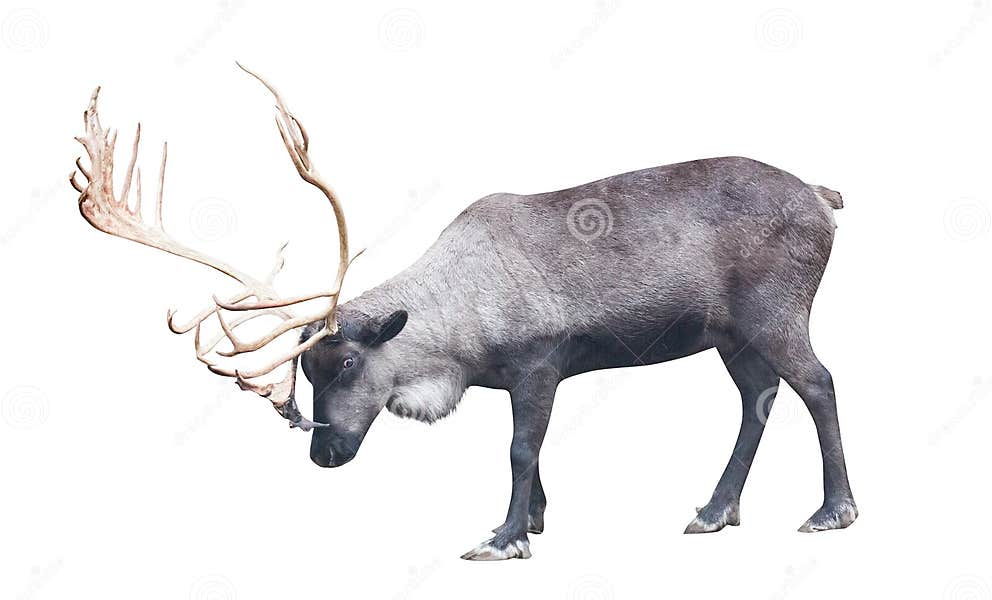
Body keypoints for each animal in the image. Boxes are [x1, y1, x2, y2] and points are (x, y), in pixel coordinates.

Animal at [70, 65, 857, 561]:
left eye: (347, 362)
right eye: (307, 369)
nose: (324, 455)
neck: (456, 340)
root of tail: (823, 196)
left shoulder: (541, 361)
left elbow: (518, 449)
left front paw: (503, 538)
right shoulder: (511, 378)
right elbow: (531, 452)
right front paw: (534, 518)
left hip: (776, 311)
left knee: (817, 383)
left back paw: (831, 511)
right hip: (729, 334)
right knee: (759, 397)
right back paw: (714, 511)